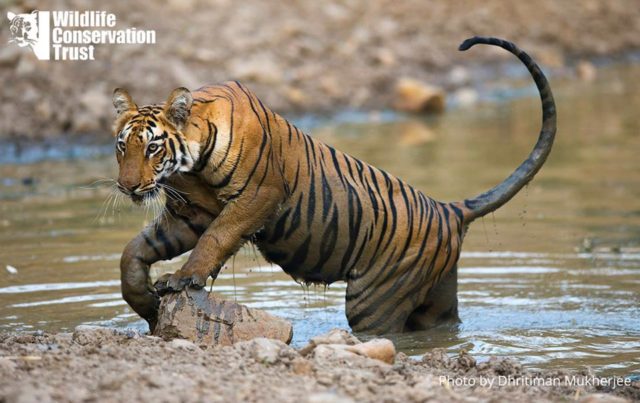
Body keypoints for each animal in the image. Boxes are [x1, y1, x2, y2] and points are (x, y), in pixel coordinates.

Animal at [114, 37, 556, 334]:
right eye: (122, 146)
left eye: (153, 147)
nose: (128, 187)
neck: (191, 167)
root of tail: (450, 209)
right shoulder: (191, 213)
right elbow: (134, 250)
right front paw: (146, 302)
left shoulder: (257, 197)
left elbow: (216, 238)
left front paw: (181, 279)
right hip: (438, 299)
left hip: (374, 301)